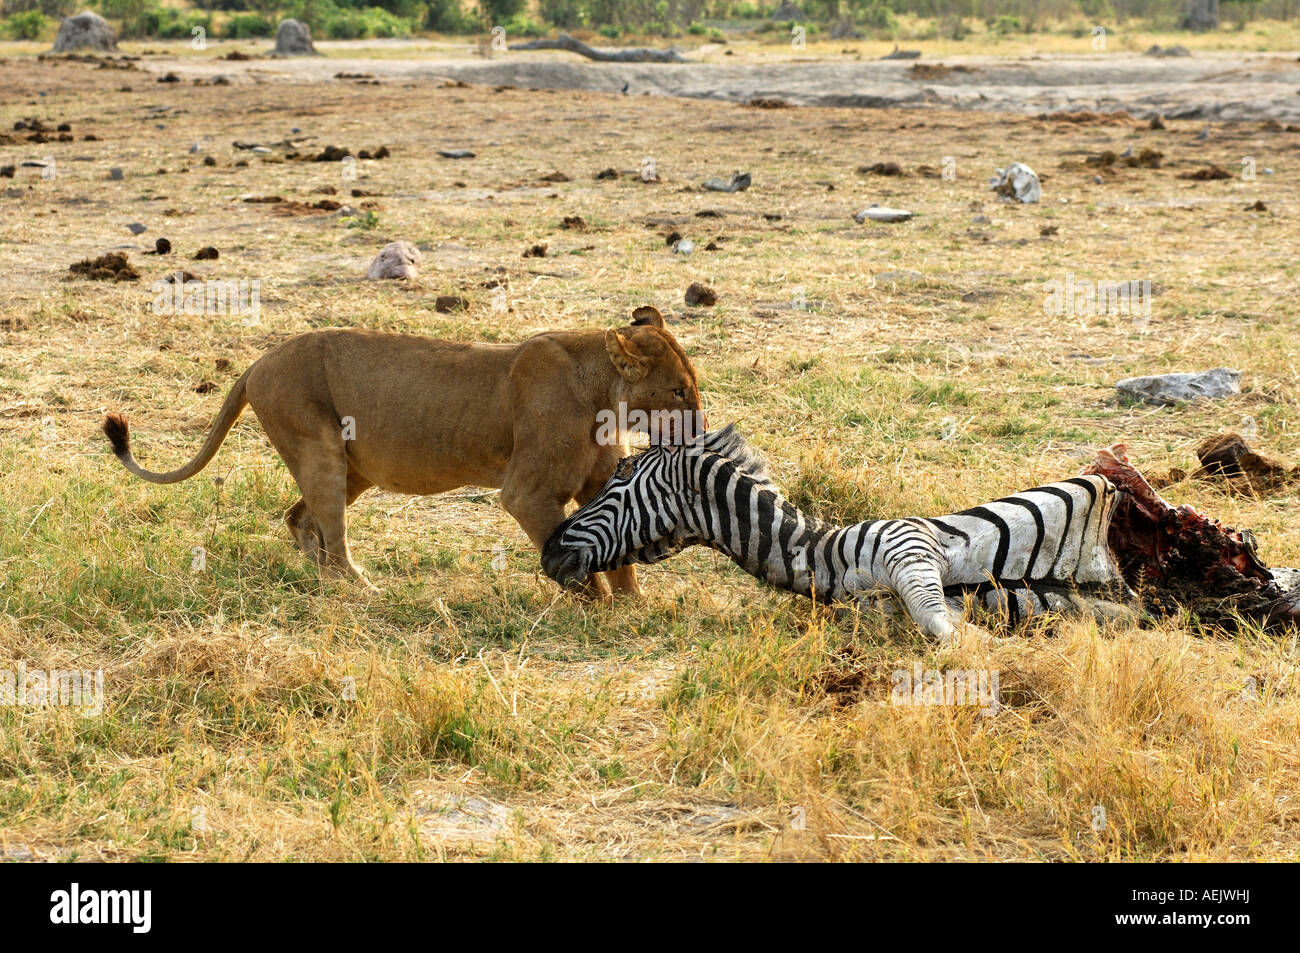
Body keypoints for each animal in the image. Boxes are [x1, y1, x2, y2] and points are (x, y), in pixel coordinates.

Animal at [101, 307, 703, 598]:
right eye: (678, 391)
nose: (700, 426)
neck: (603, 395)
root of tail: (256, 362)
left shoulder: (601, 483)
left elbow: (616, 549)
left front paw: (633, 606)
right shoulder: (526, 494)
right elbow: (573, 561)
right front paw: (598, 607)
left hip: (353, 469)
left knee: (300, 520)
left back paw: (326, 582)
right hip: (319, 448)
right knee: (329, 533)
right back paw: (361, 590)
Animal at [541, 425, 1137, 639]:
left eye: (618, 480)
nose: (548, 552)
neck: (819, 553)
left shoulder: (911, 546)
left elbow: (941, 626)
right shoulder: (881, 606)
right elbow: (944, 619)